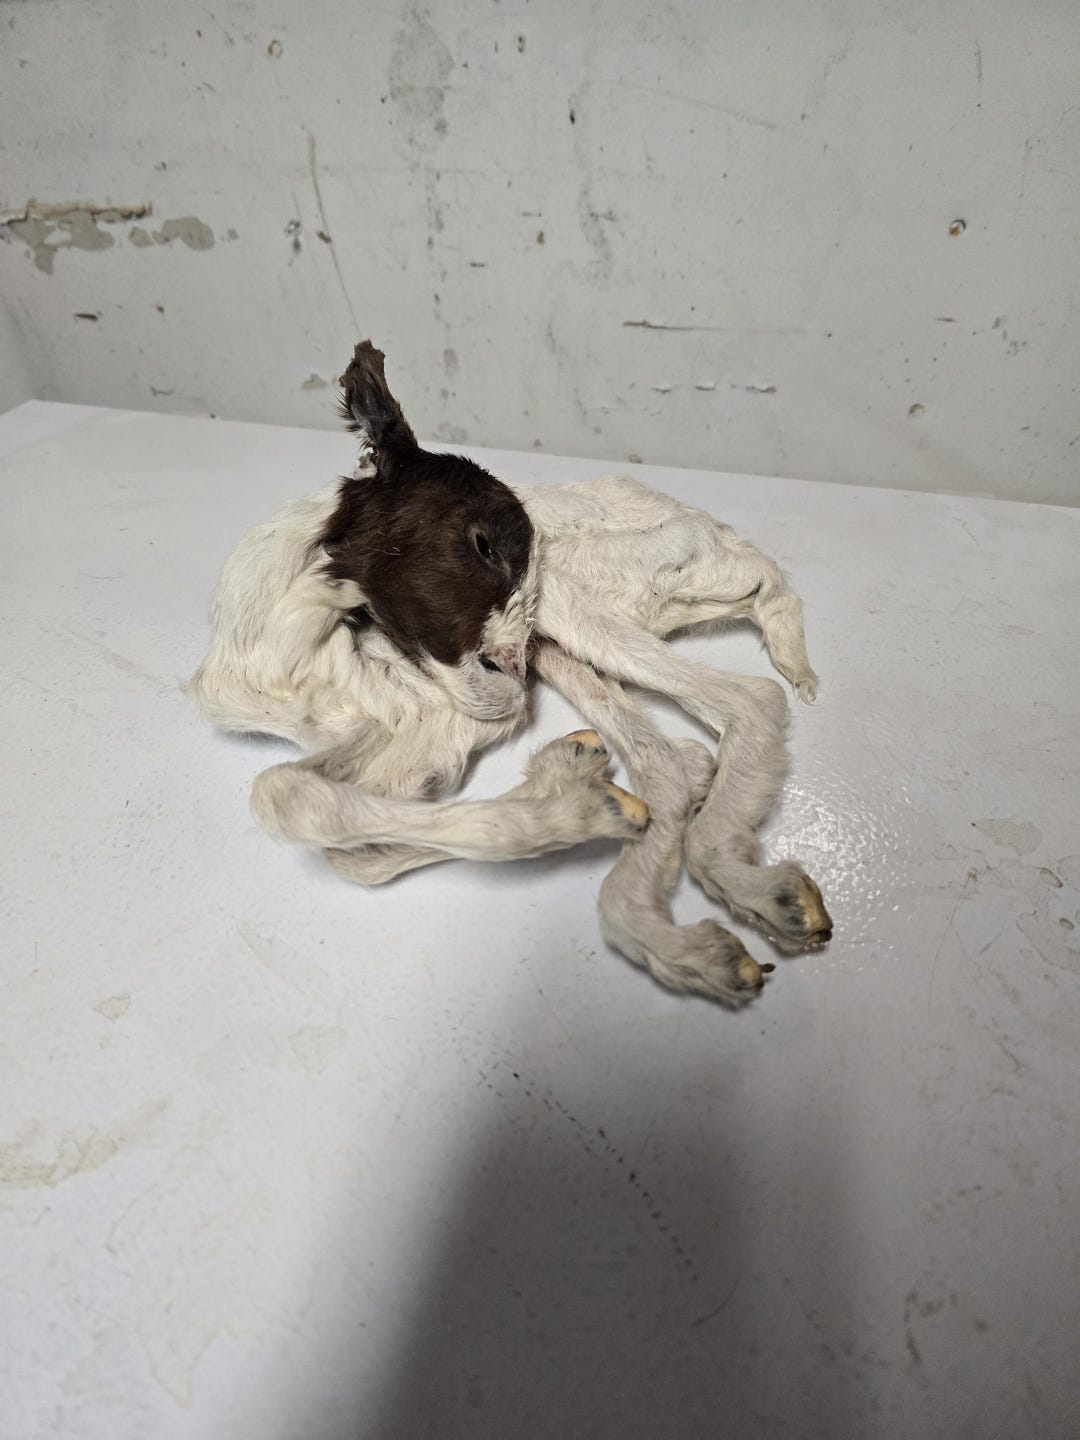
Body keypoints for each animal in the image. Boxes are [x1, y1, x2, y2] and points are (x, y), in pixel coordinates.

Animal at [189, 342, 831, 1006]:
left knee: (750, 698)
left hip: (574, 604)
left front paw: (583, 807)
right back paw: (711, 928)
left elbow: (290, 798)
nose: (510, 684)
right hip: (563, 647)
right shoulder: (401, 749)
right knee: (674, 764)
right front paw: (575, 782)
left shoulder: (429, 727)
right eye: (484, 544)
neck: (283, 658)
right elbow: (357, 847)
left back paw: (732, 899)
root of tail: (726, 540)